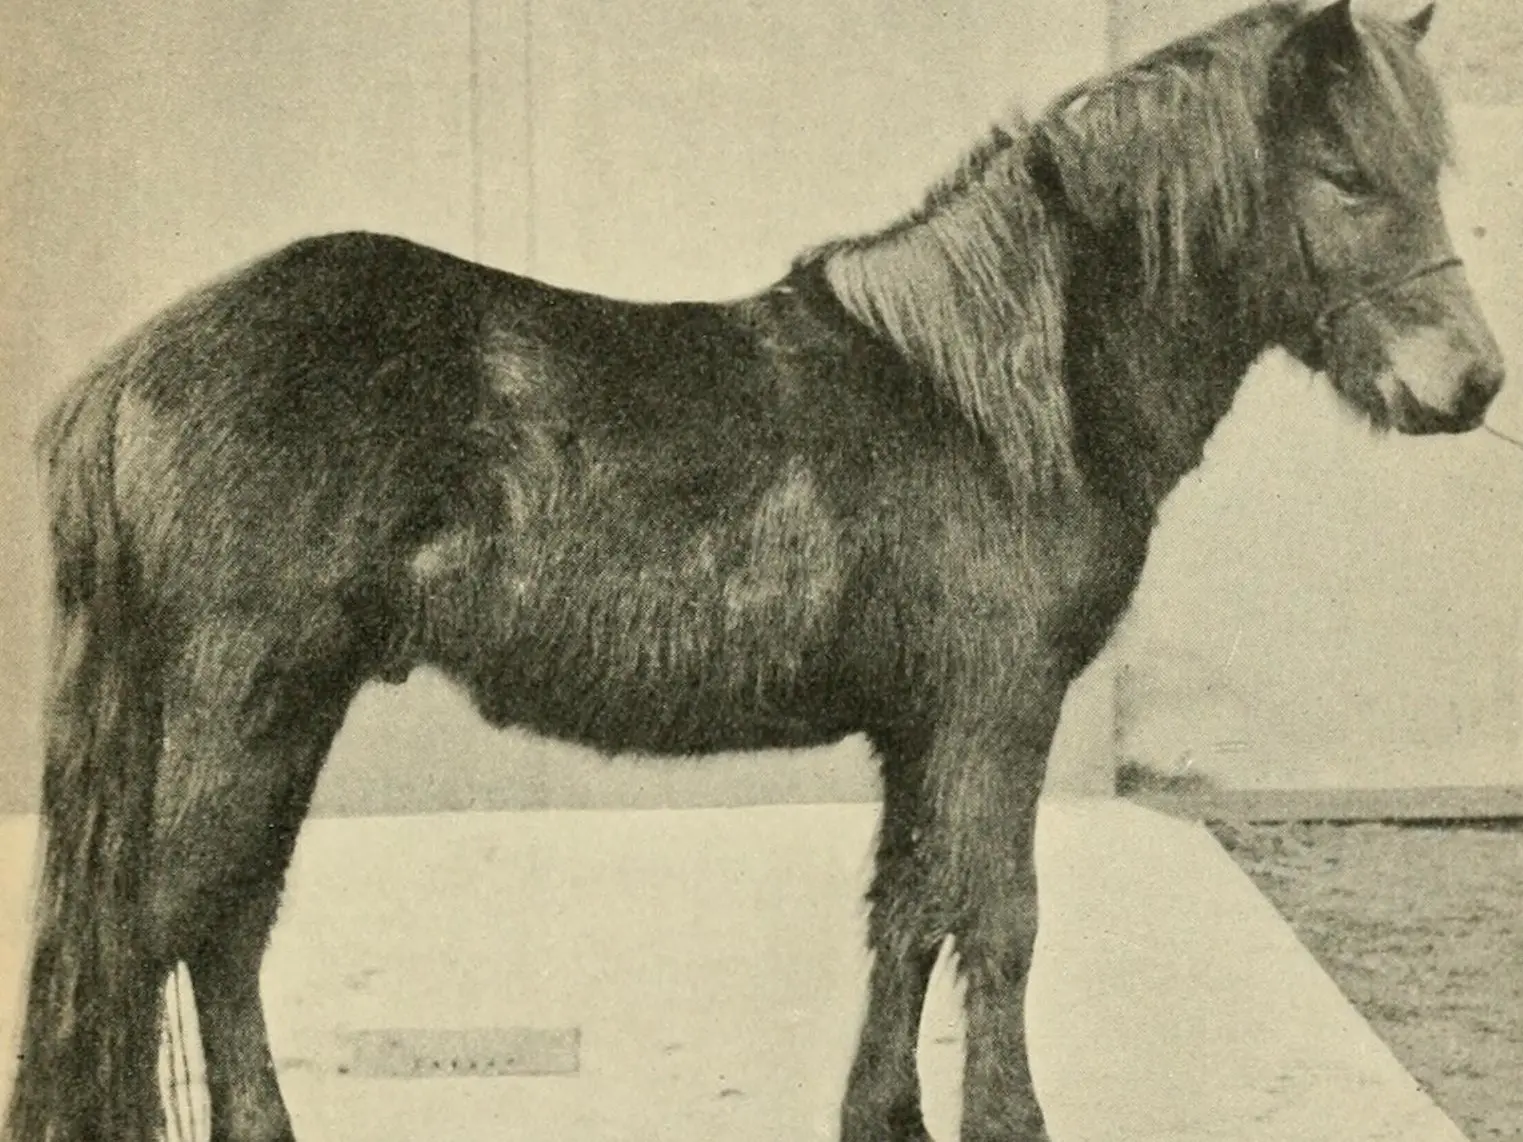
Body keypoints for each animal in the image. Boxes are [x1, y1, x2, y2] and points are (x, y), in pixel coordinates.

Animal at [5, 1, 1503, 1140]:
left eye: (1424, 172)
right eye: (1344, 175)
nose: (1472, 382)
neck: (983, 398)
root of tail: (133, 363)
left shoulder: (924, 726)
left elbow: (907, 912)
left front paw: (883, 1116)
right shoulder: (995, 710)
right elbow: (997, 919)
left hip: (283, 707)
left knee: (224, 927)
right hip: (249, 698)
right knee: (168, 927)